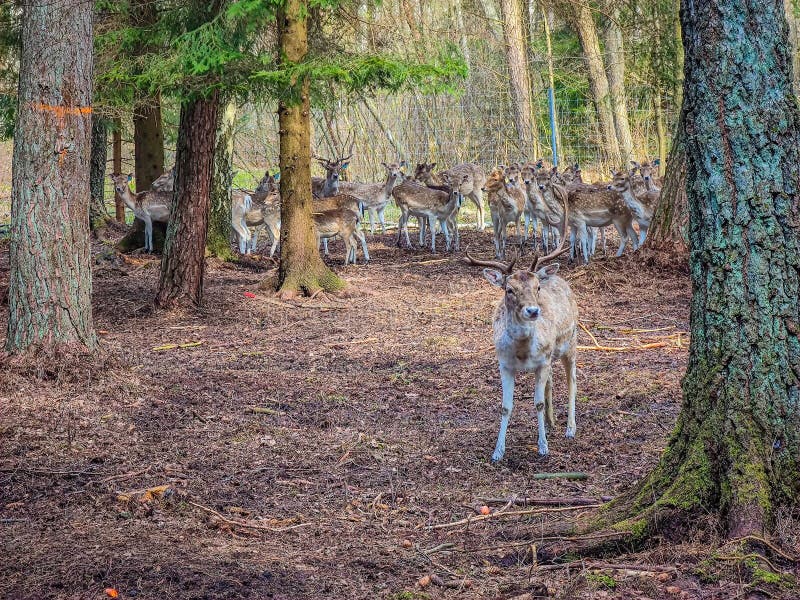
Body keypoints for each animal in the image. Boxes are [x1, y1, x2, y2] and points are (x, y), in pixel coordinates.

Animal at [464, 191, 577, 461]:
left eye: (537, 287)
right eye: (509, 289)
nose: (533, 310)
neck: (523, 352)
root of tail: (557, 276)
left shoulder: (543, 361)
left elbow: (536, 403)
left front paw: (543, 447)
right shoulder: (504, 364)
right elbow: (506, 407)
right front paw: (497, 452)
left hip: (572, 342)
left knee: (572, 381)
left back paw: (570, 428)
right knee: (552, 383)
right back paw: (551, 422)